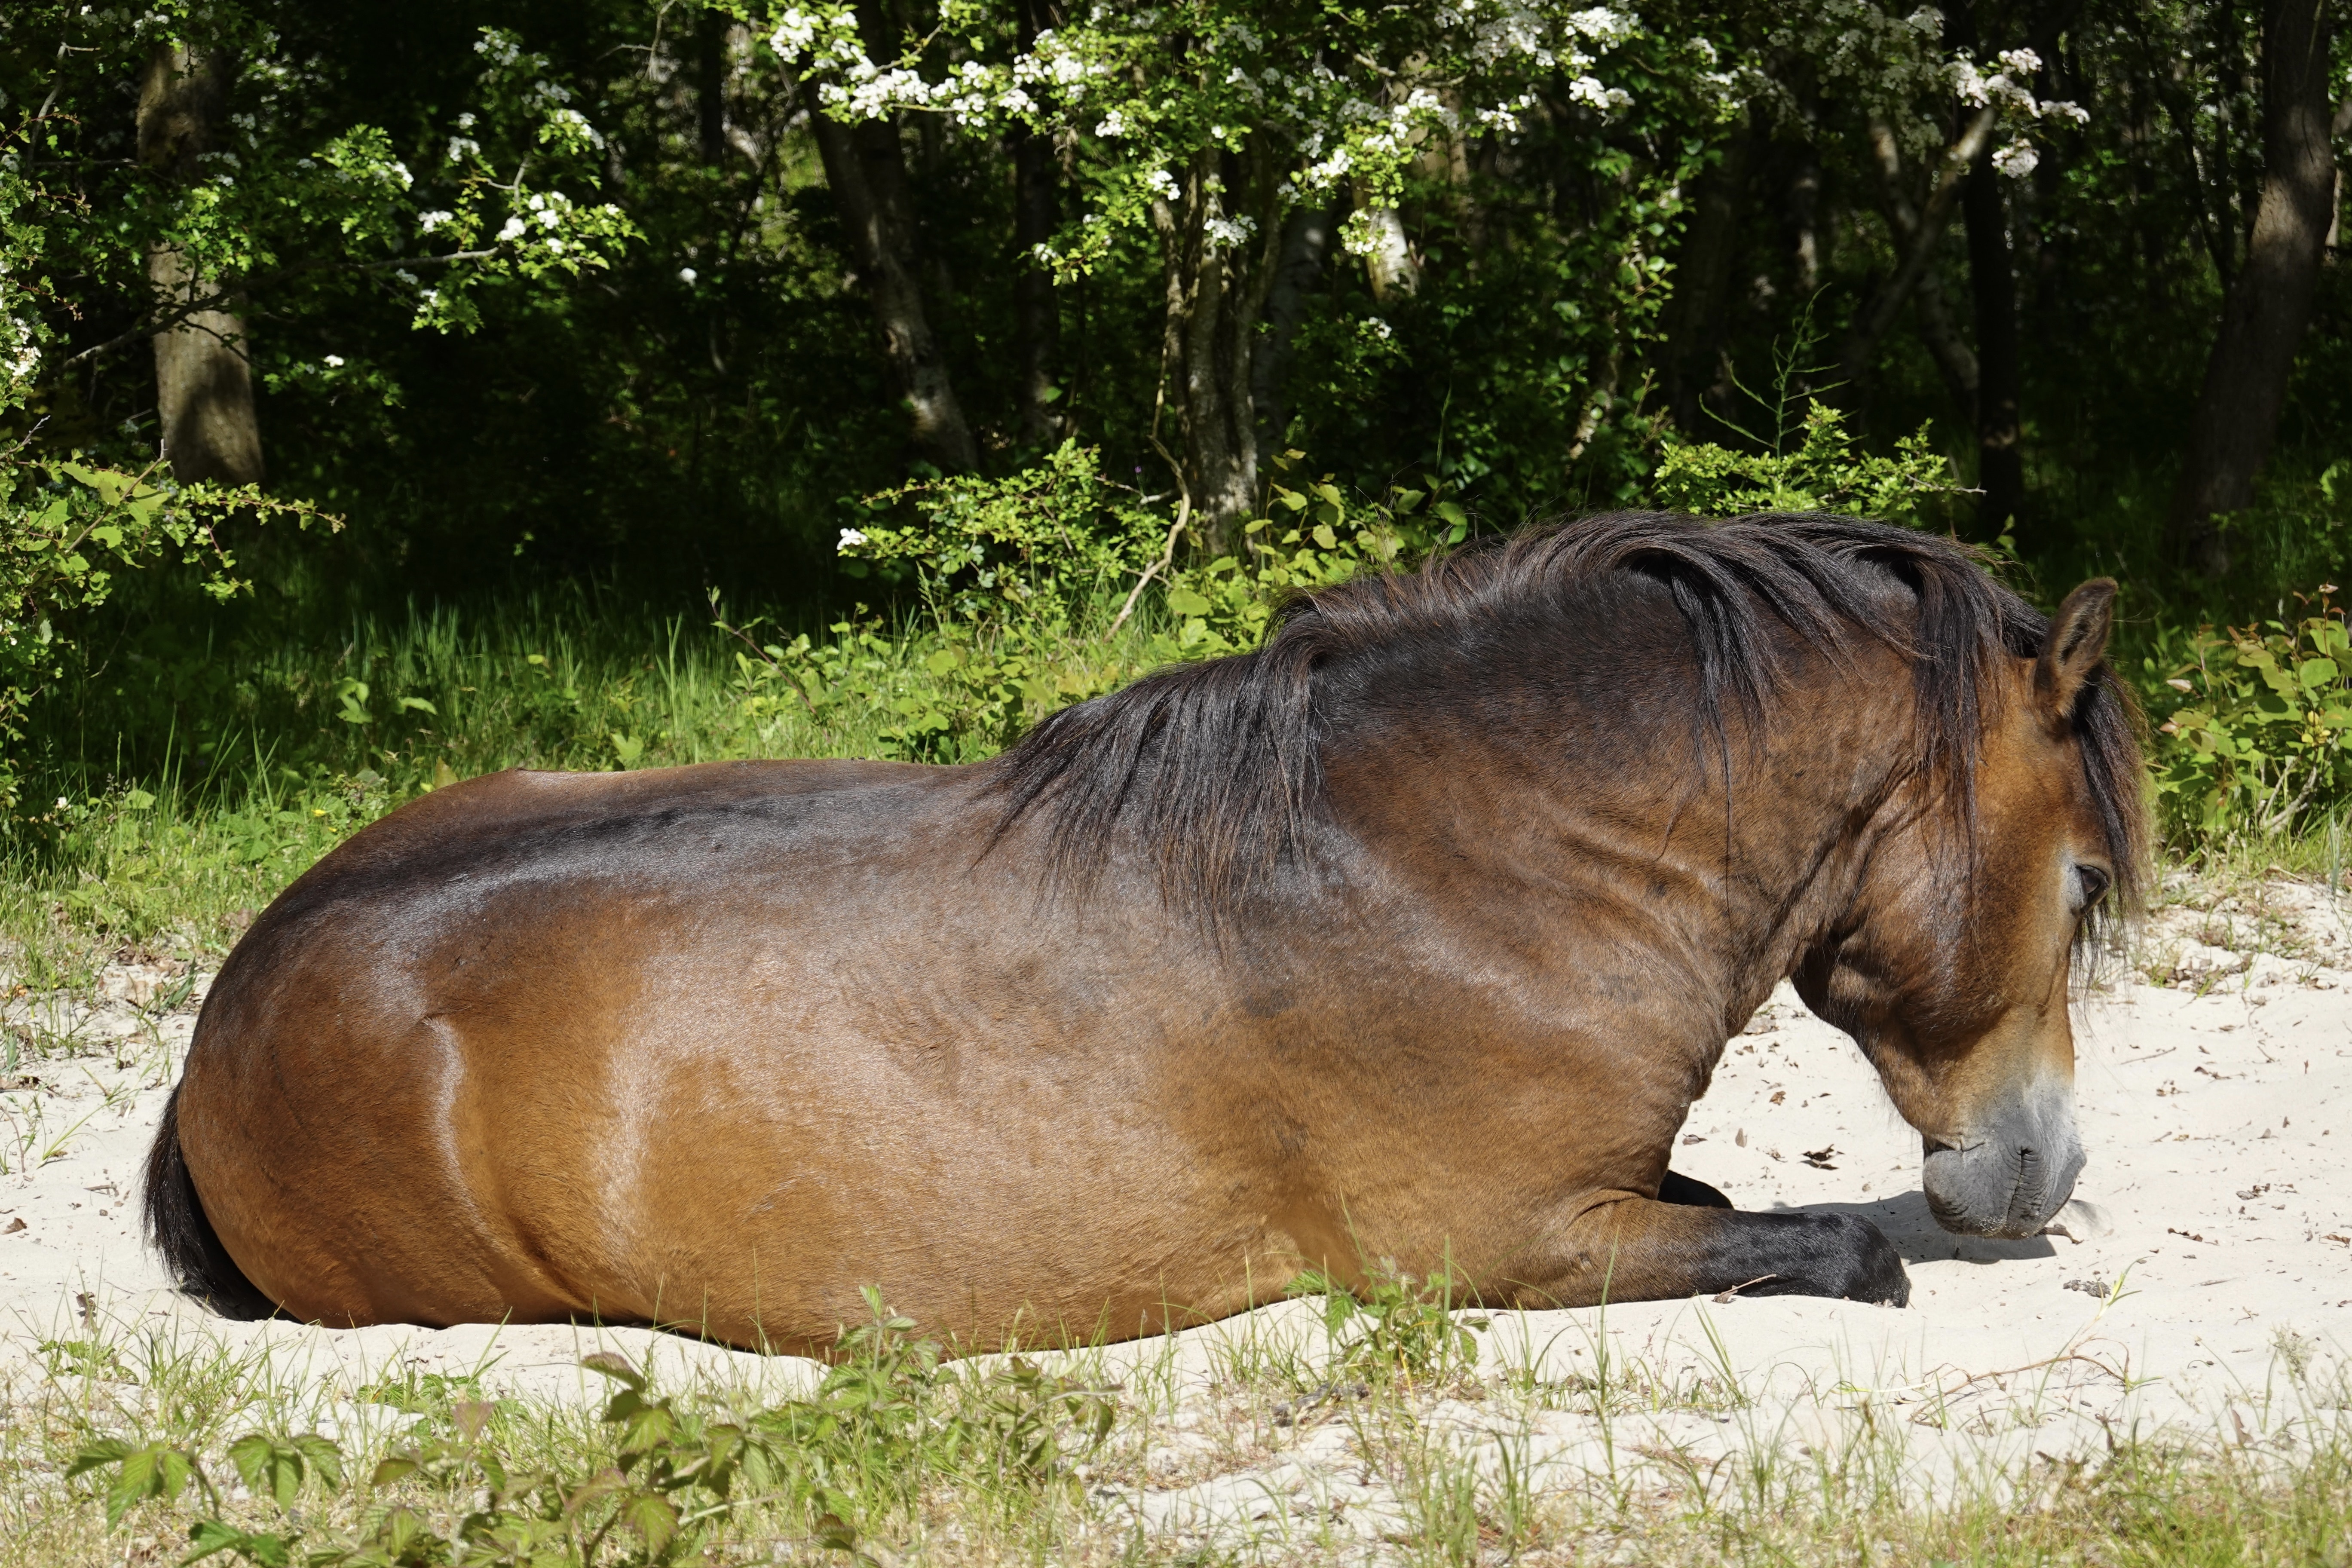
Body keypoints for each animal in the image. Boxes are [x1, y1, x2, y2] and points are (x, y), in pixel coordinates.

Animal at [144, 512, 2145, 1355]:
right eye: (2079, 882)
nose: (2042, 1172)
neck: (1465, 864)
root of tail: (231, 1006)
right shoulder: (1507, 1247)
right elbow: (1837, 1246)